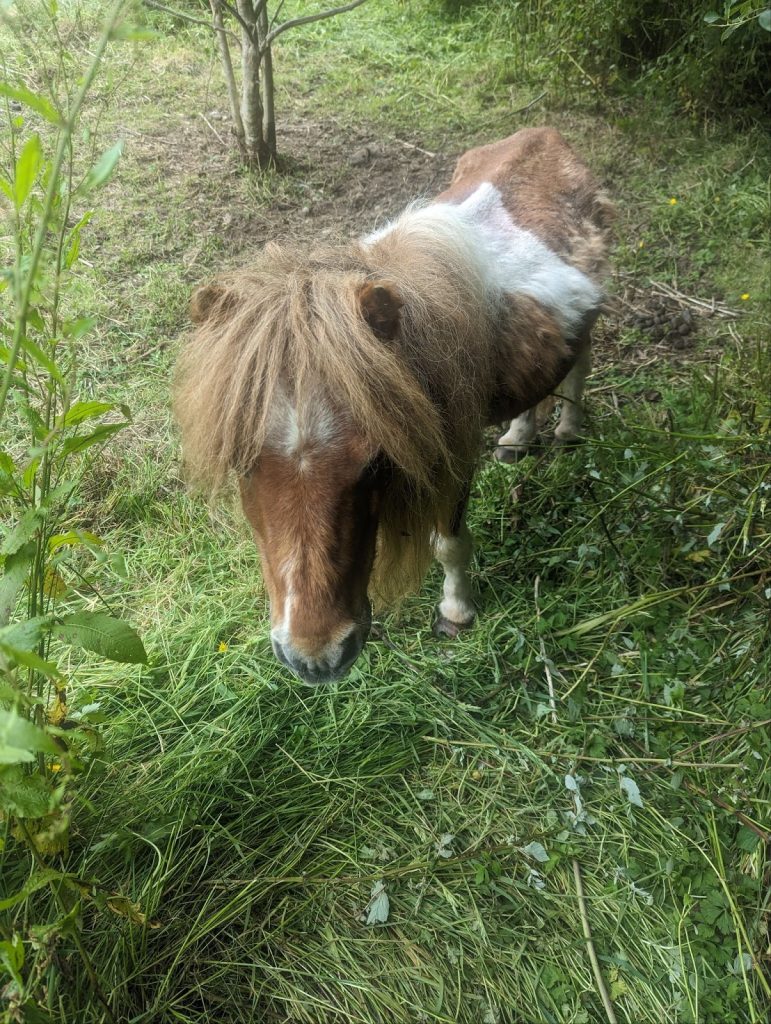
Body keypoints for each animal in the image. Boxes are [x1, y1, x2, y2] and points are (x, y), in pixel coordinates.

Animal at [173, 127, 614, 685]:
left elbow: (448, 543)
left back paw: (568, 430)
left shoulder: (453, 457)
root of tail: (547, 134)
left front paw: (456, 613)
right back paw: (518, 437)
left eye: (375, 466)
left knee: (581, 364)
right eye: (241, 463)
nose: (315, 657)